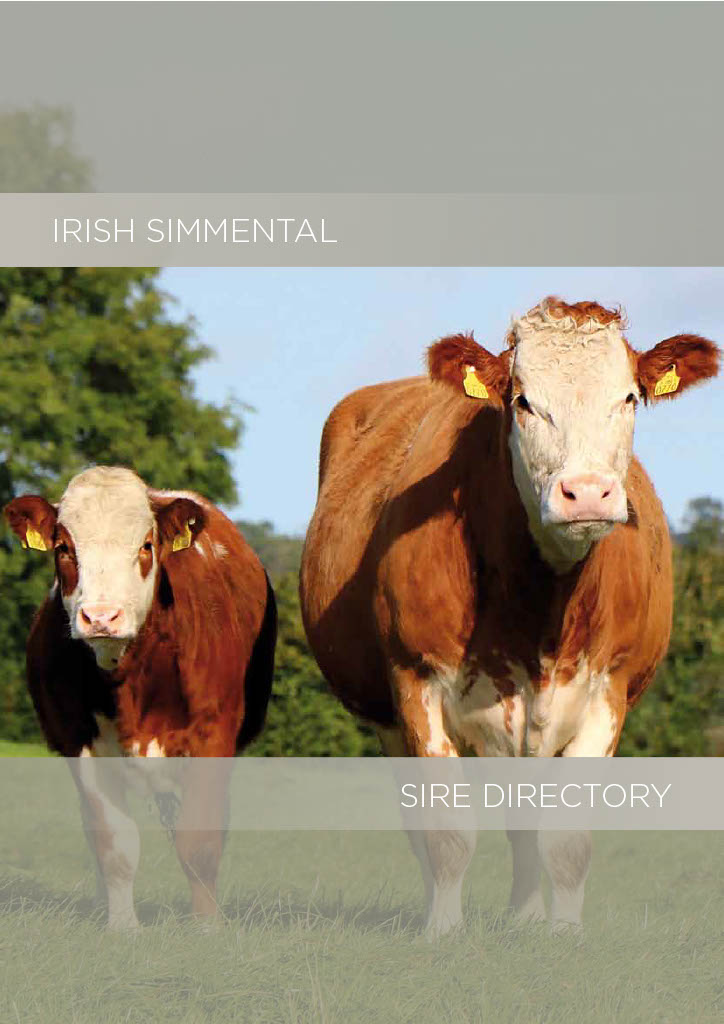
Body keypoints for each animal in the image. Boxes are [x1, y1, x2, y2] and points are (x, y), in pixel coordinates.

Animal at [4, 465, 276, 929]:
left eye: (146, 546)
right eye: (63, 547)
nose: (101, 616)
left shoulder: (213, 737)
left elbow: (200, 838)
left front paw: (207, 926)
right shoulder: (80, 743)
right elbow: (113, 842)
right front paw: (122, 926)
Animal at [299, 297, 720, 935]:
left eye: (628, 397)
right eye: (522, 400)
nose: (587, 493)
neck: (540, 610)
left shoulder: (607, 690)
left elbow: (566, 841)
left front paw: (562, 934)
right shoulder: (416, 680)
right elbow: (446, 834)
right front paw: (442, 932)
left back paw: (525, 917)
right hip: (387, 718)